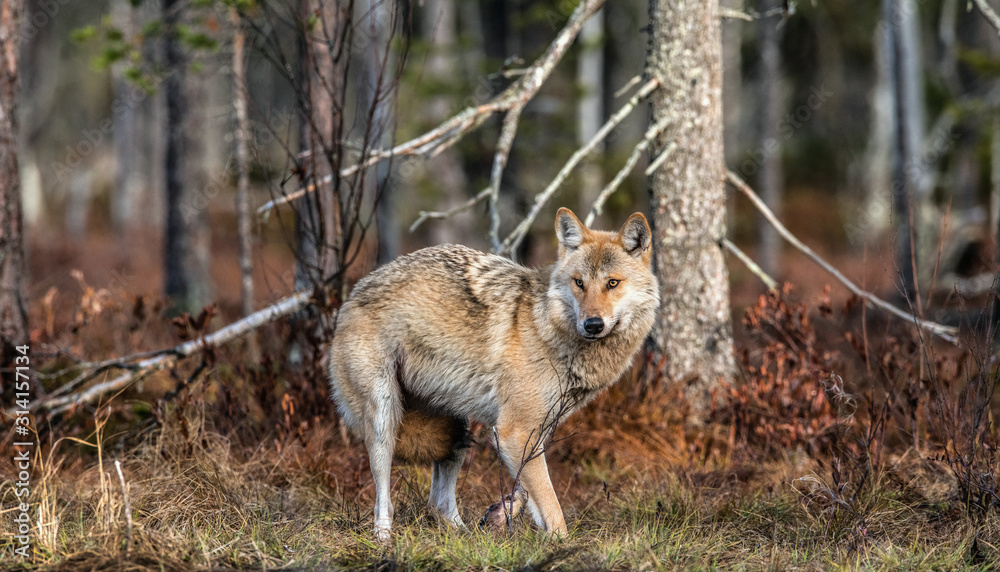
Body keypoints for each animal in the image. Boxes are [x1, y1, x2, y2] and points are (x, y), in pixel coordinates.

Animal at [328, 208, 659, 540]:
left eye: (612, 283)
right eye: (579, 283)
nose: (592, 324)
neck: (548, 329)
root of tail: (354, 291)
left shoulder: (535, 433)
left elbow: (530, 495)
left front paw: (511, 516)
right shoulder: (515, 433)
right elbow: (552, 508)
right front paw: (561, 545)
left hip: (459, 430)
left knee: (438, 505)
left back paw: (468, 537)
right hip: (384, 418)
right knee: (384, 499)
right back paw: (385, 540)